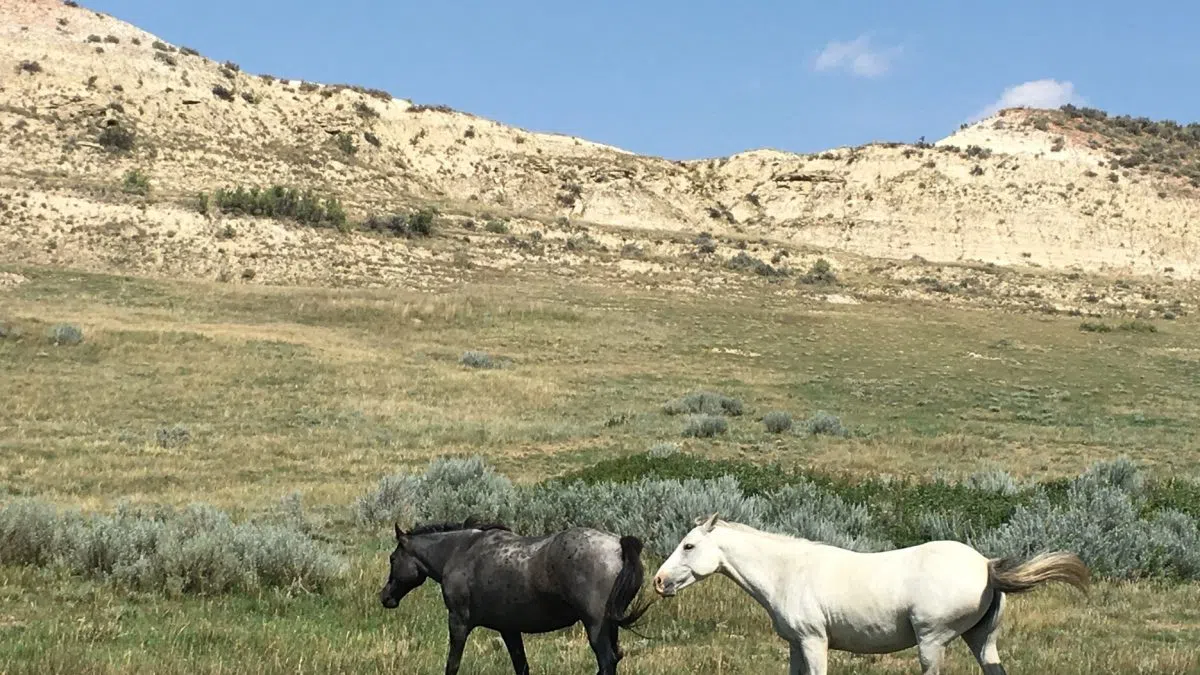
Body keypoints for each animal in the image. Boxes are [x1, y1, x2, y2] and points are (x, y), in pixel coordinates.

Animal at [379, 517, 655, 675]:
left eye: (392, 558)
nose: (385, 596)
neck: (459, 552)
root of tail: (618, 545)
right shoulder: (509, 629)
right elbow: (521, 666)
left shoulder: (458, 622)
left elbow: (452, 664)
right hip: (610, 625)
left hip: (596, 626)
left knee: (607, 662)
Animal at [652, 513, 1090, 675]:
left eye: (688, 545)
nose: (658, 581)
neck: (788, 572)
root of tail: (985, 565)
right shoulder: (796, 645)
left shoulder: (814, 642)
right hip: (981, 639)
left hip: (932, 642)